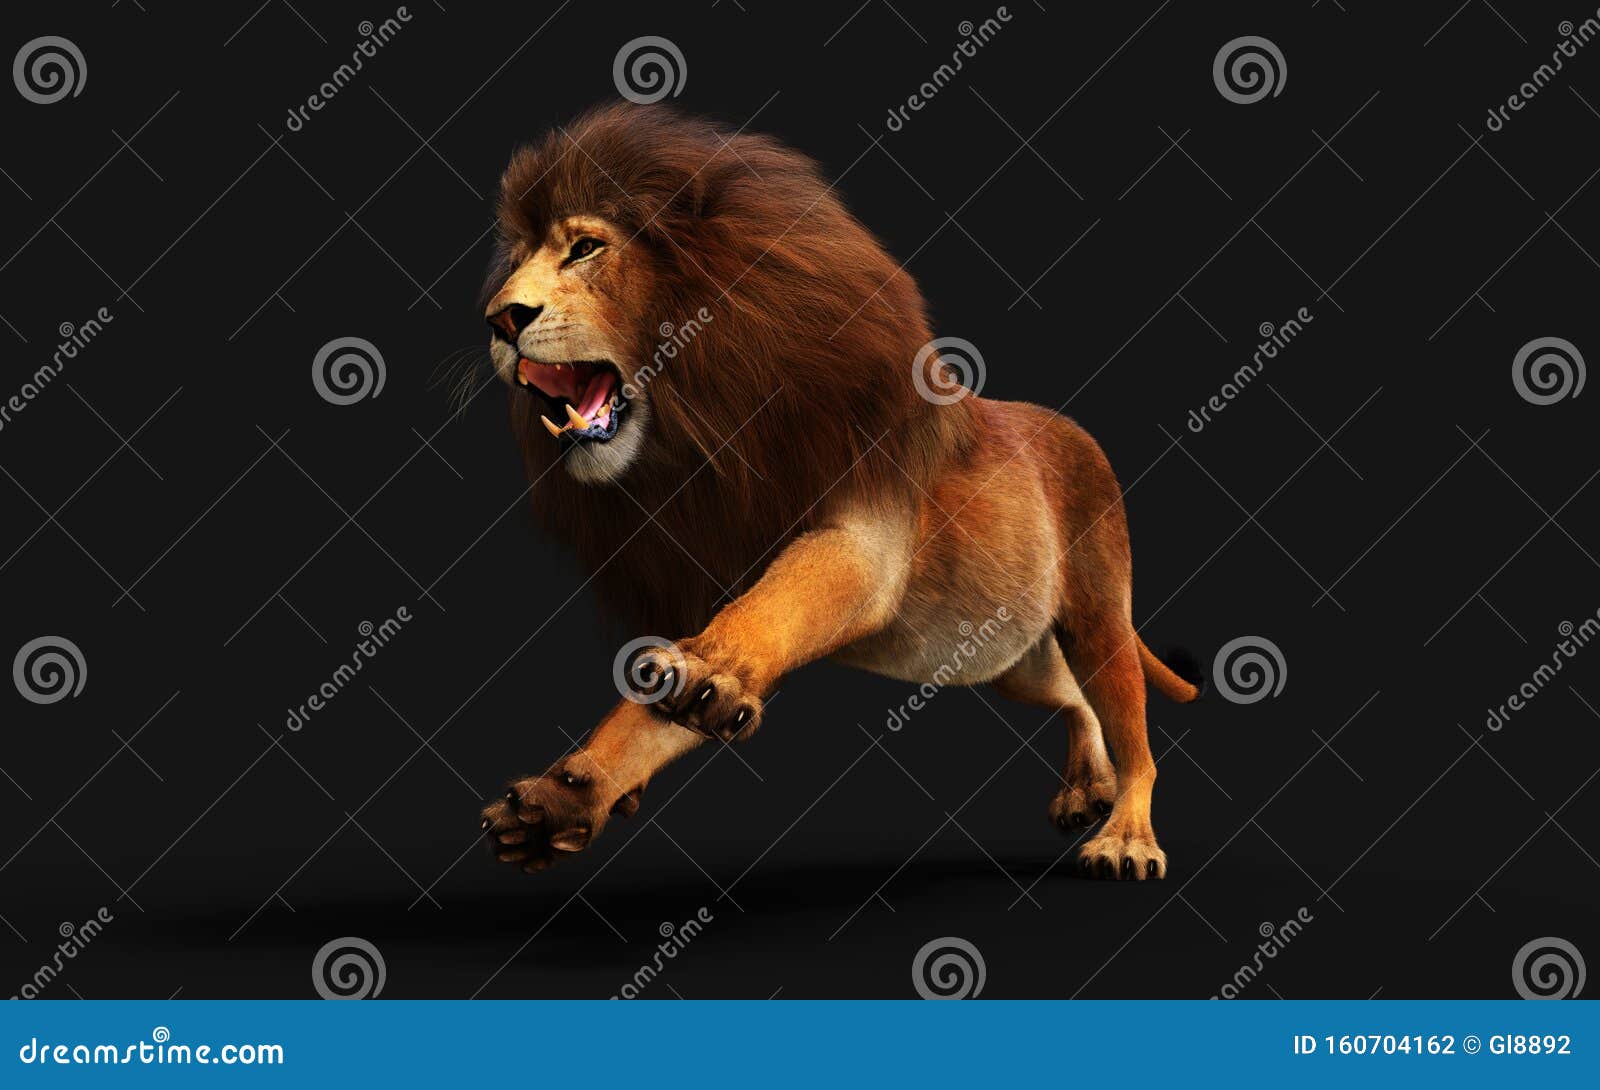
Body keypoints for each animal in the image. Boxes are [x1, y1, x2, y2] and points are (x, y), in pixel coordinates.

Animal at [476, 102, 1204, 881]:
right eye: (516, 260)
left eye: (584, 248)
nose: (499, 318)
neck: (704, 434)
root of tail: (1076, 429)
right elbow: (642, 719)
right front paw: (563, 799)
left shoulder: (865, 531)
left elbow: (777, 602)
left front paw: (708, 671)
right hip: (1011, 653)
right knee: (1075, 697)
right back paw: (1085, 788)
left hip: (1096, 614)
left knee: (1133, 731)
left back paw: (1125, 834)